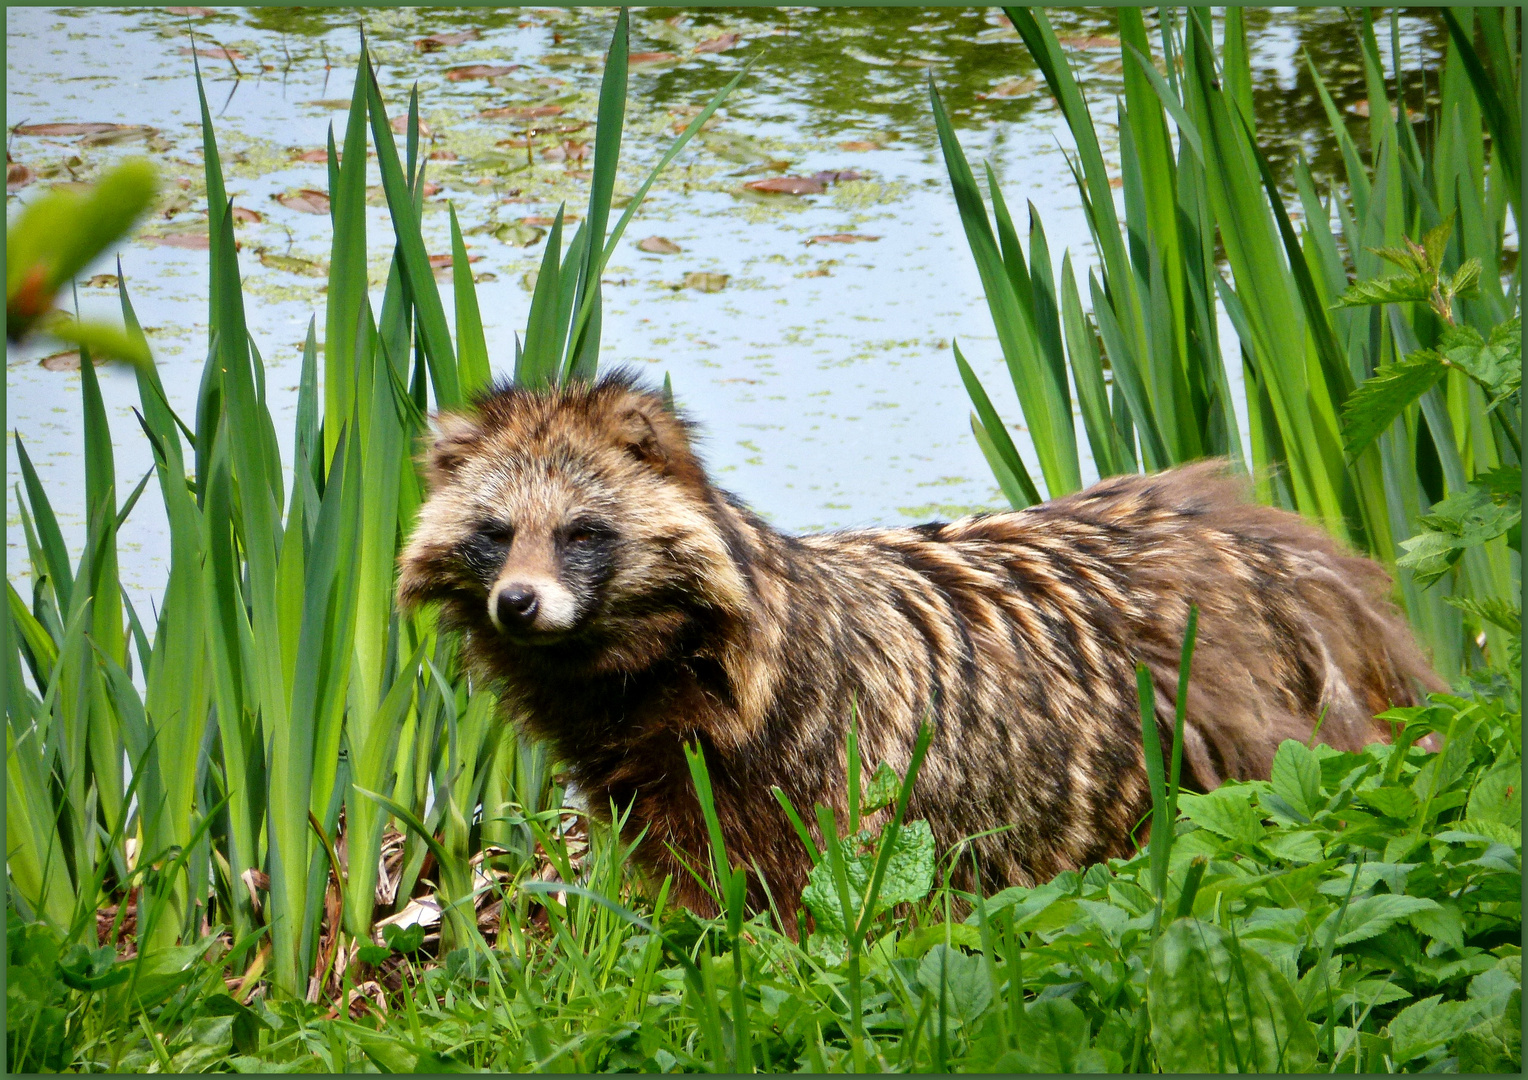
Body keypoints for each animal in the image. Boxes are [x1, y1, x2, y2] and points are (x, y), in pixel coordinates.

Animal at [397, 369, 1442, 910]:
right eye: (494, 534)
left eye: (583, 533)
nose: (518, 604)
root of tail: (1262, 535)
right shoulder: (665, 787)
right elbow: (703, 887)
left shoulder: (833, 775)